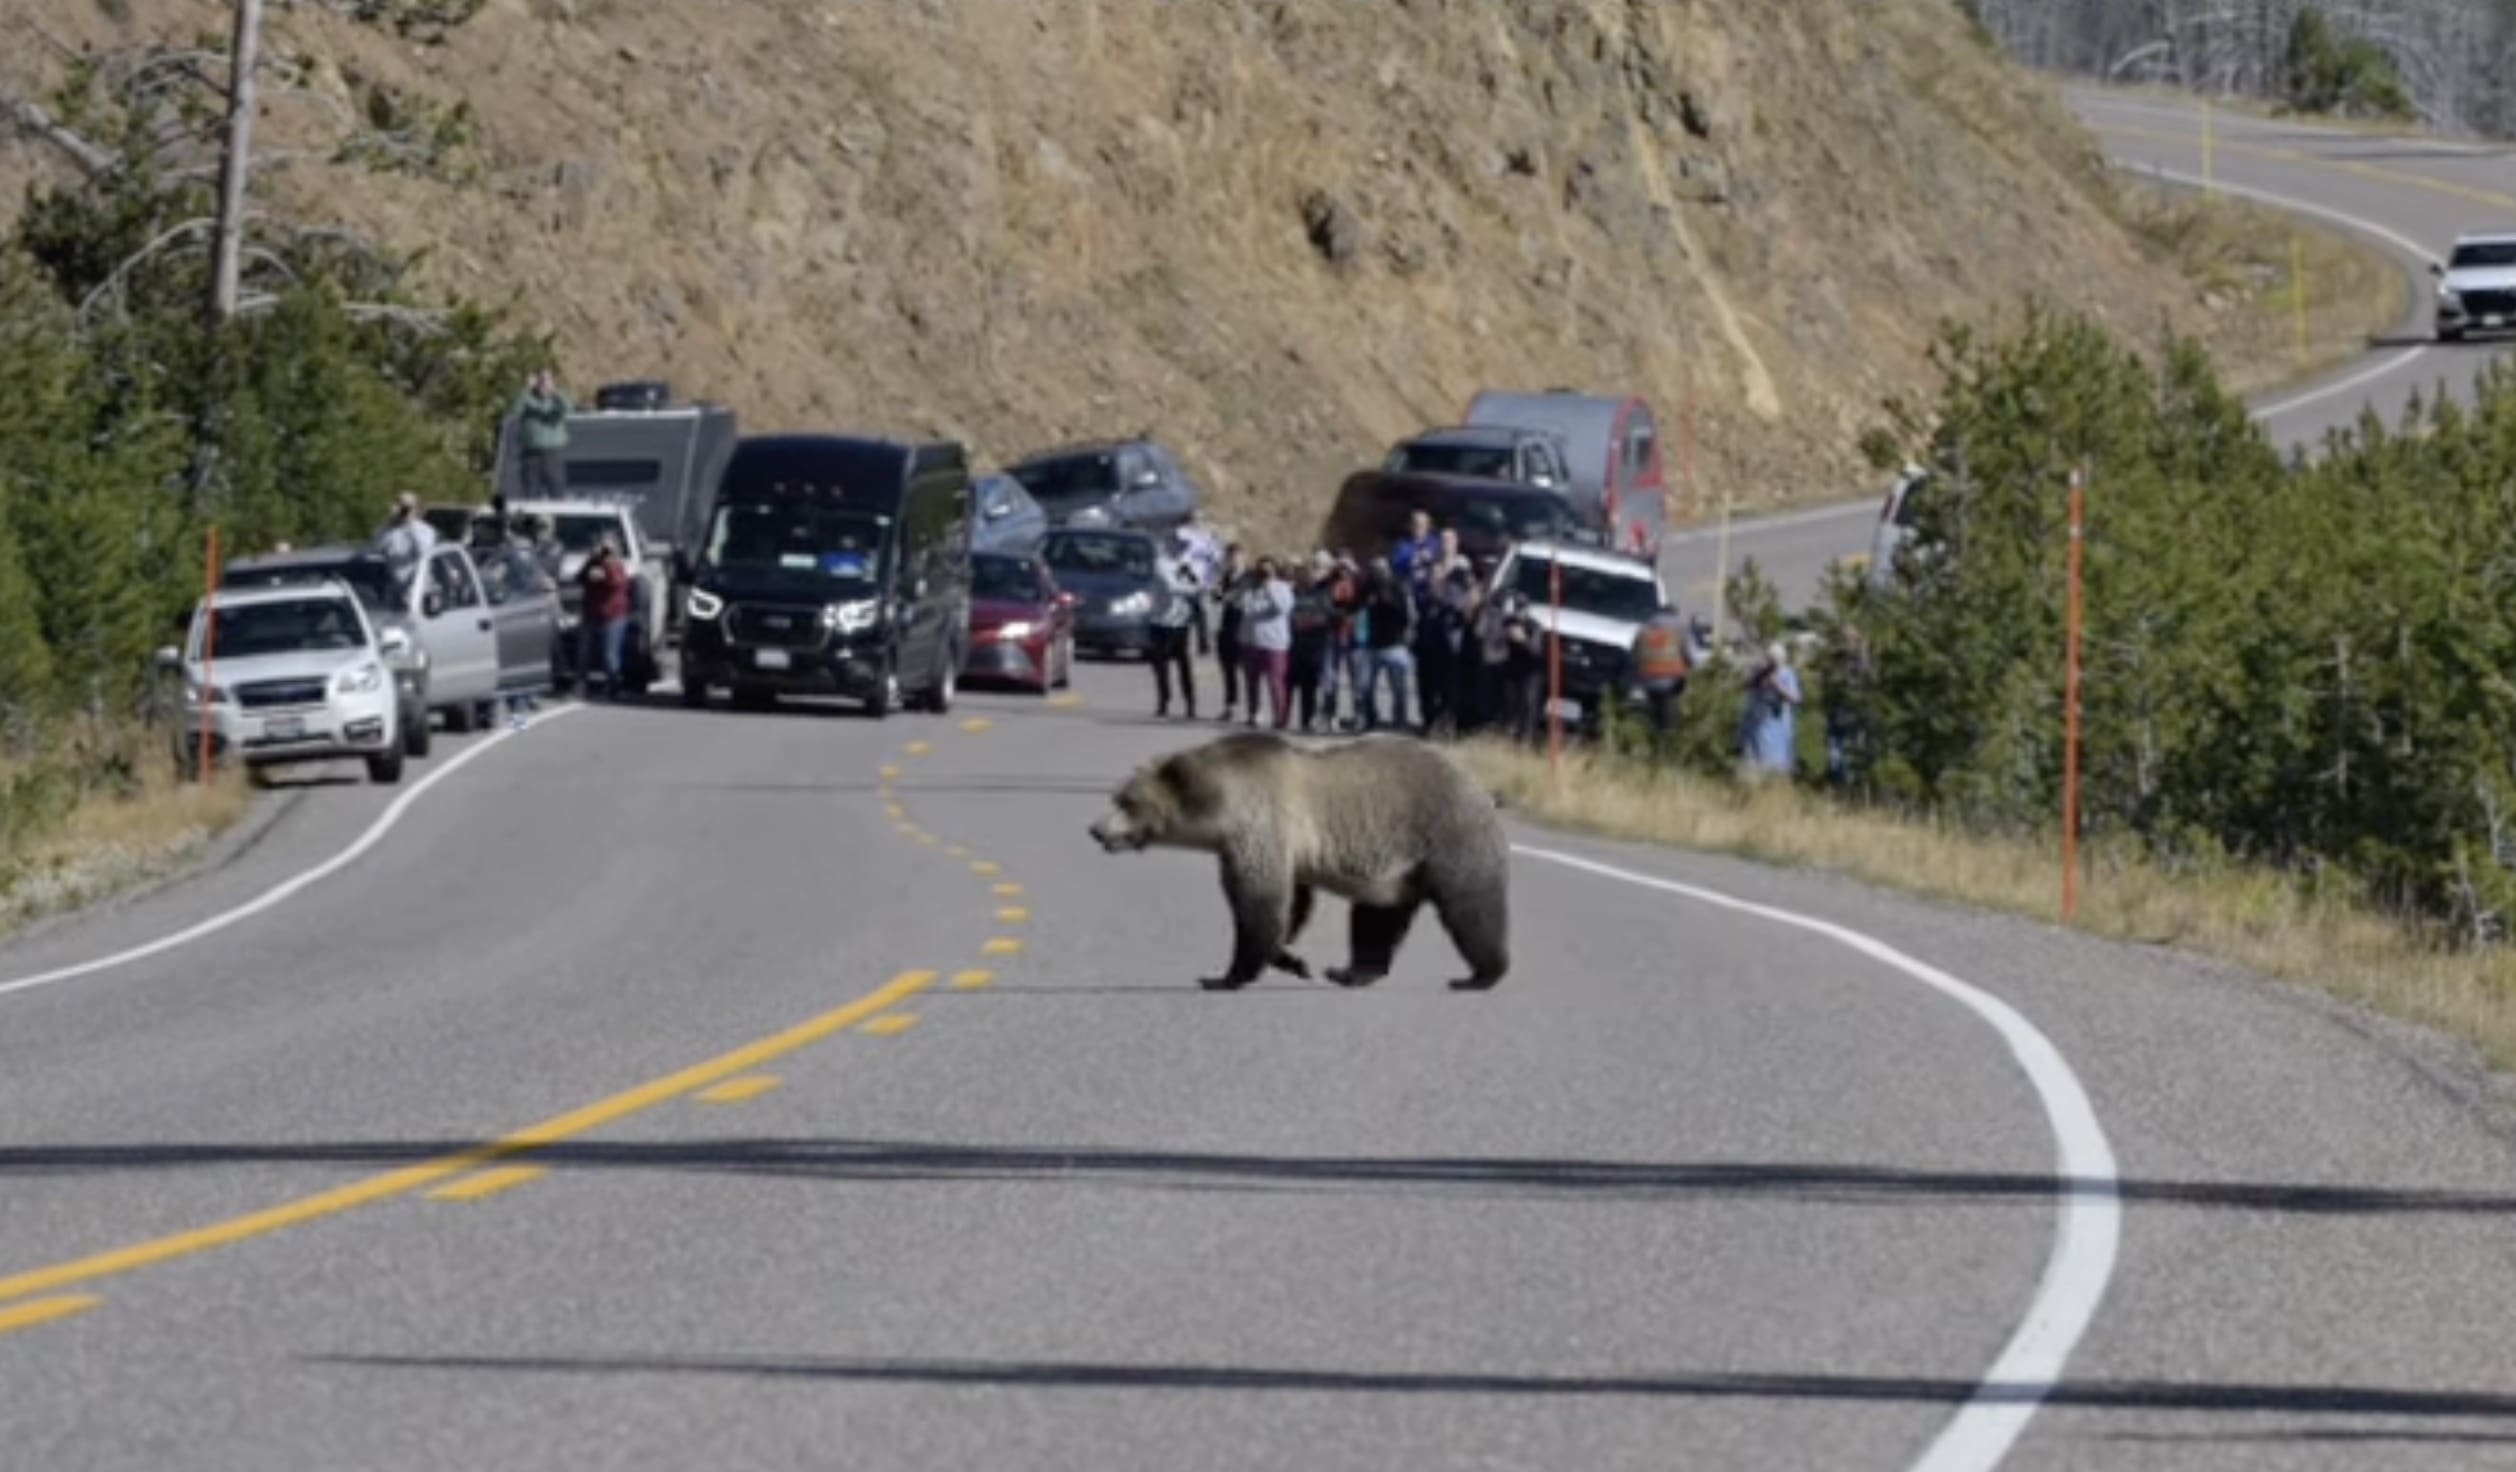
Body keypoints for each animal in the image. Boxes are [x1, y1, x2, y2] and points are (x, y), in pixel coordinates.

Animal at [1086, 731, 1510, 992]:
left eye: (1127, 801)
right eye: (1117, 796)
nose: (1095, 829)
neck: (1221, 809)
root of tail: (1481, 787)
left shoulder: (1260, 827)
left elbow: (1259, 907)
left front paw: (1225, 976)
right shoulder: (1256, 845)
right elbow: (1289, 908)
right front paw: (1293, 960)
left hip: (1446, 834)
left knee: (1471, 907)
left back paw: (1480, 975)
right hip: (1394, 870)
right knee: (1375, 918)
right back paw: (1351, 971)